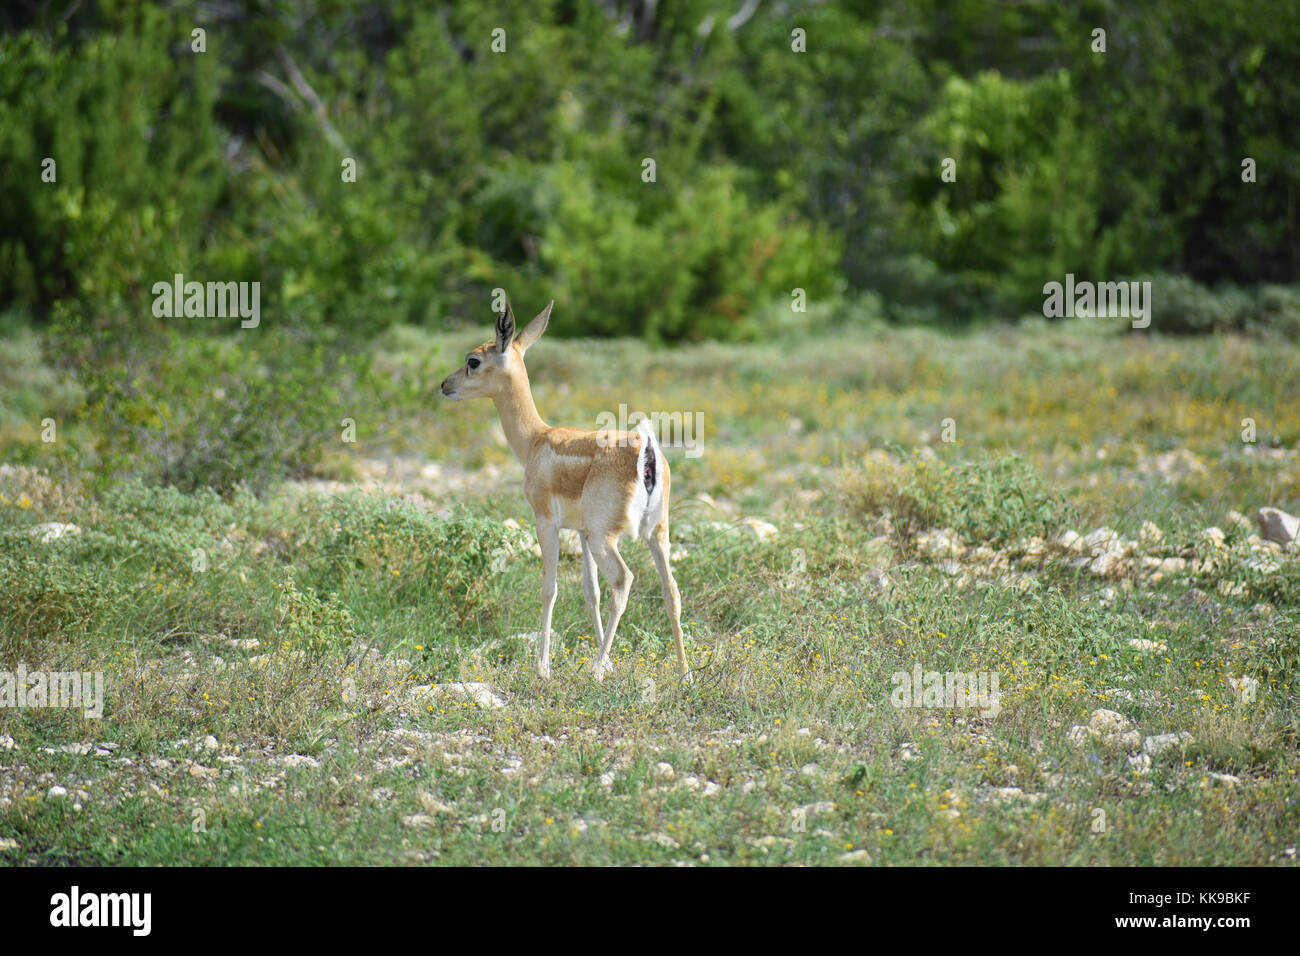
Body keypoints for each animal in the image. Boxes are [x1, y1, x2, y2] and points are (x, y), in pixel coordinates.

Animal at [439, 300, 689, 683]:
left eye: (473, 360)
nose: (445, 384)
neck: (536, 440)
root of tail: (646, 451)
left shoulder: (547, 523)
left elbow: (550, 588)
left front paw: (543, 667)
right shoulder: (581, 533)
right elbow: (590, 592)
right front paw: (608, 661)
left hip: (608, 539)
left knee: (624, 580)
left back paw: (596, 670)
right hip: (656, 534)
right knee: (670, 590)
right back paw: (684, 674)